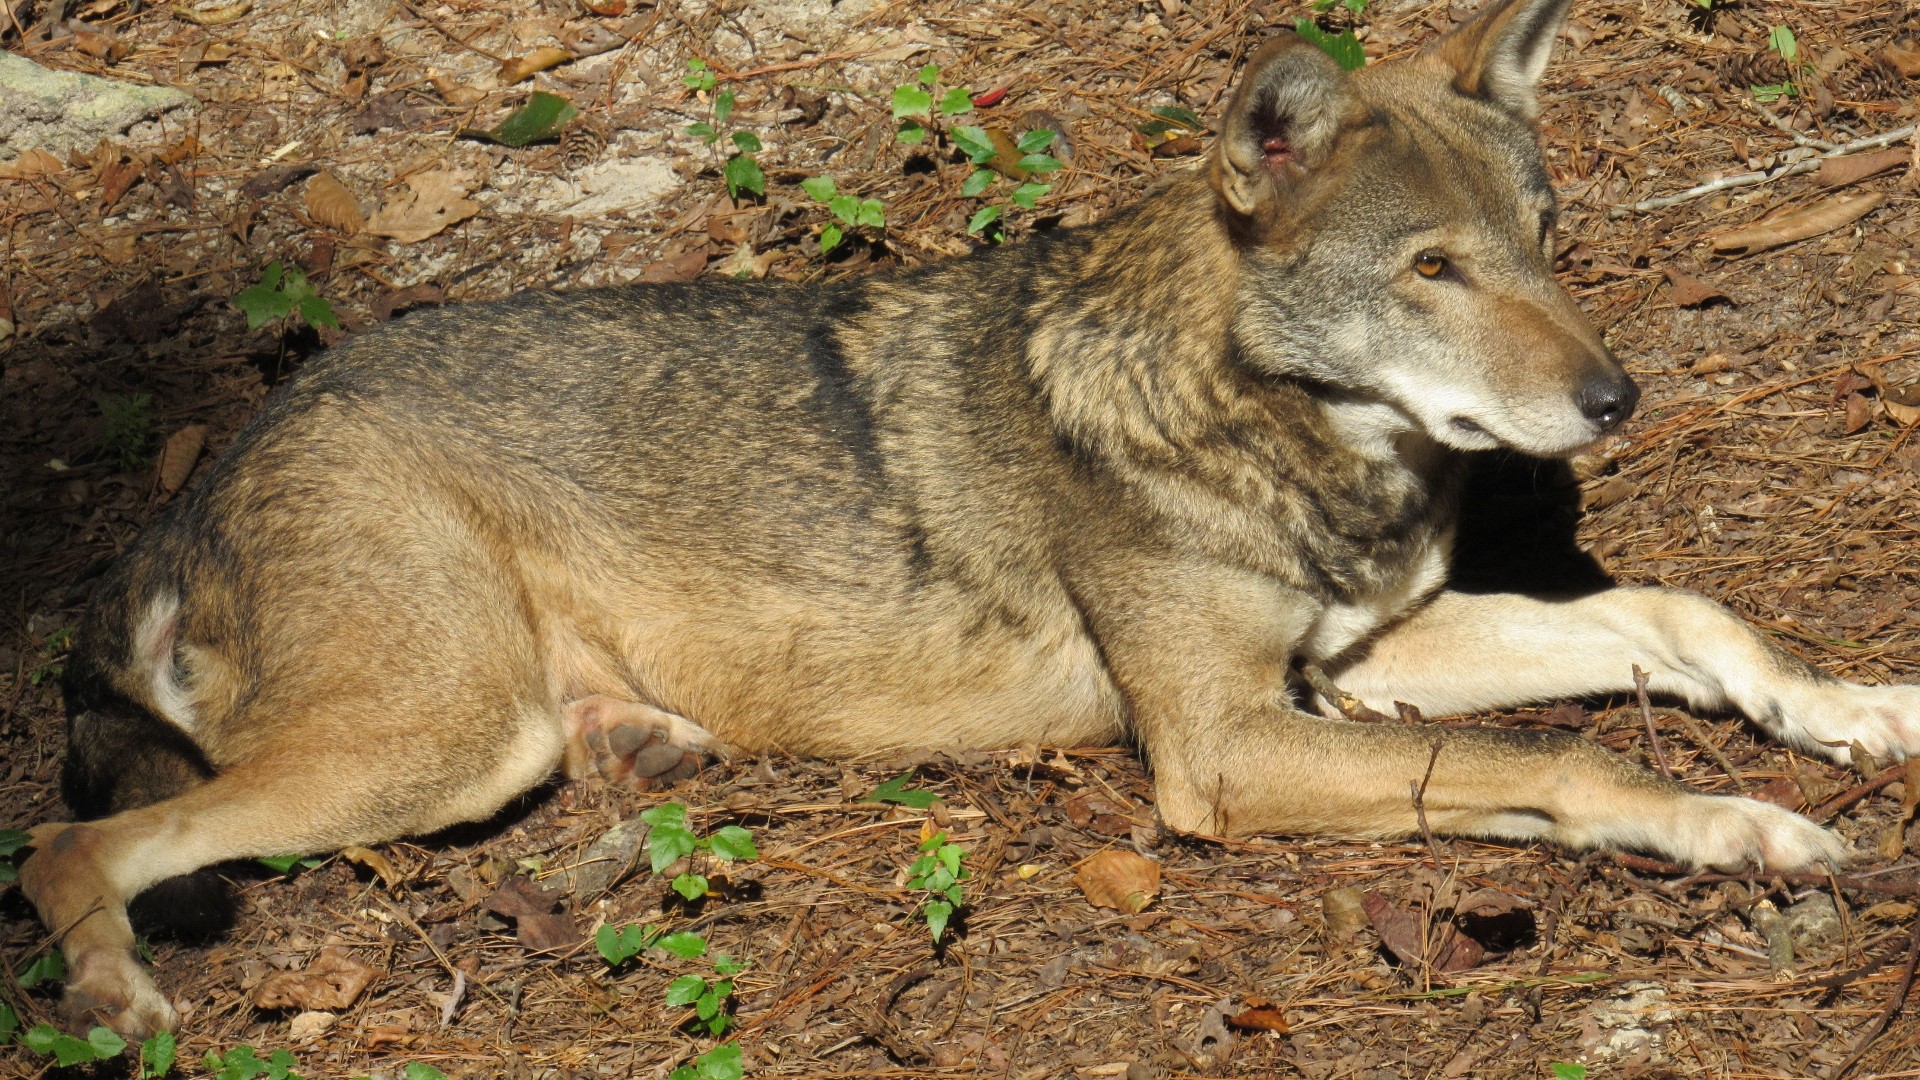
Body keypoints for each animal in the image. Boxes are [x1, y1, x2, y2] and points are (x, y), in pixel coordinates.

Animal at [20, 0, 1920, 1038]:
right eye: (1431, 271)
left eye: (1544, 236)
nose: (1616, 401)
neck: (1270, 433)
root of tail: (215, 461)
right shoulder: (1223, 747)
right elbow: (1580, 760)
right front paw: (1743, 826)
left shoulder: (1373, 656)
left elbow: (1681, 617)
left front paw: (1853, 714)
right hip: (441, 743)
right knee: (67, 847)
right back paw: (116, 1007)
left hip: (492, 741)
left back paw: (650, 747)